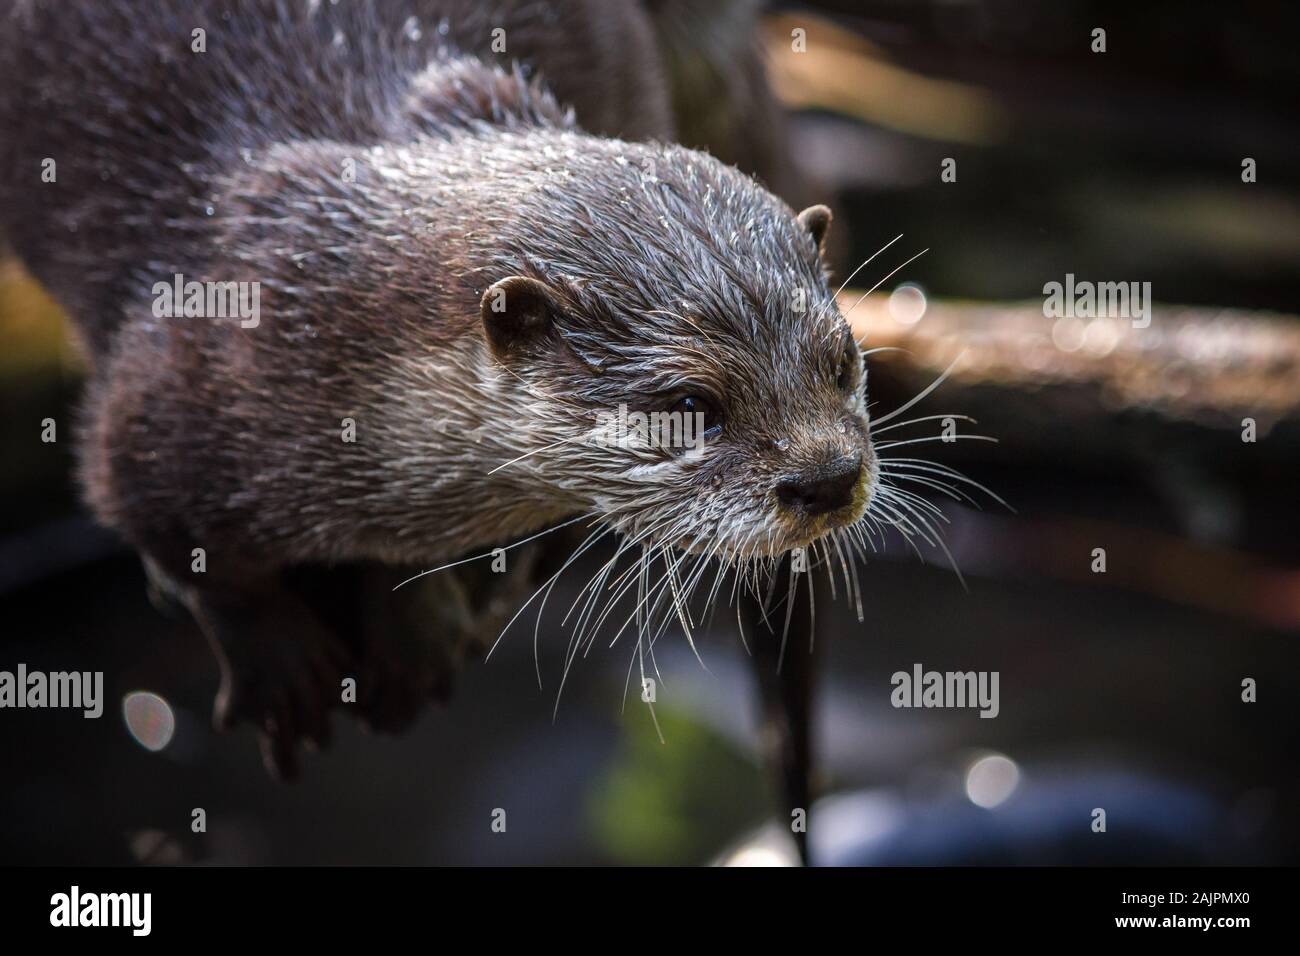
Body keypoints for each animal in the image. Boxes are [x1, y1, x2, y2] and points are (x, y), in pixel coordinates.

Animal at [0, 0, 876, 778]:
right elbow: (181, 545)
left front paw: (409, 625)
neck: (316, 315)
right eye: (694, 407)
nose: (828, 479)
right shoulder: (161, 401)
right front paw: (277, 663)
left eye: (842, 361)